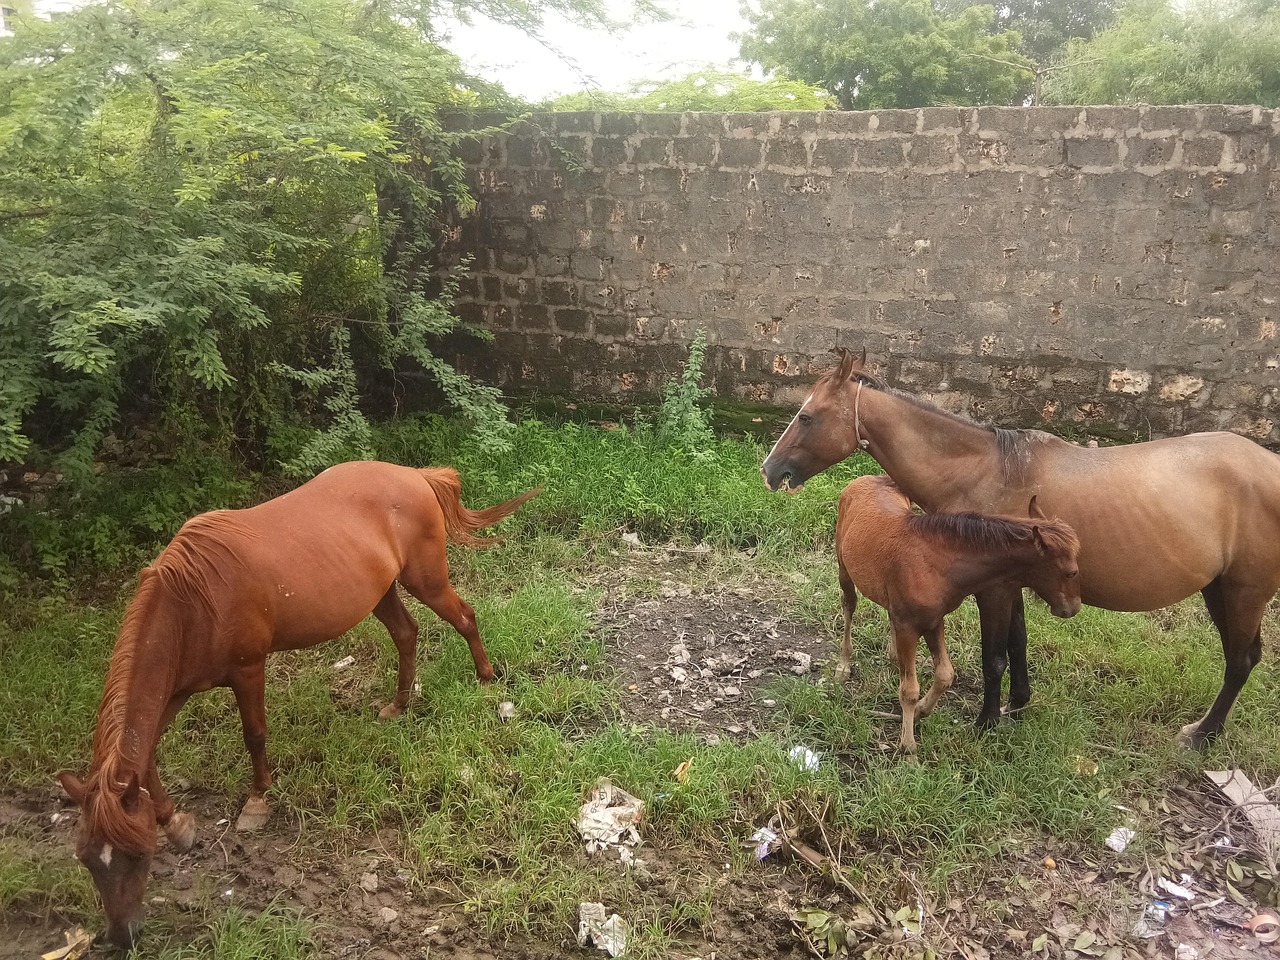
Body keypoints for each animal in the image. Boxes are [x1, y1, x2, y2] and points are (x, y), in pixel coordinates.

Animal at [56, 461, 538, 950]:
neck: (192, 603)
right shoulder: (175, 690)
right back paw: (399, 705)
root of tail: (415, 475)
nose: (121, 936)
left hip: (427, 579)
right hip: (382, 591)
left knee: (464, 617)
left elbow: (254, 734)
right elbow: (147, 753)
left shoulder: (248, 670)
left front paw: (258, 799)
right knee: (406, 633)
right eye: (87, 859)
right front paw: (175, 822)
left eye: (137, 855)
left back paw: (485, 679)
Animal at [834, 475, 1081, 752]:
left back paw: (892, 653)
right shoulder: (909, 626)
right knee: (849, 606)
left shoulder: (933, 621)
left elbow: (945, 675)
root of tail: (868, 478)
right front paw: (908, 747)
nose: (1072, 608)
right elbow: (908, 690)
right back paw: (843, 665)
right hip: (844, 569)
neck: (937, 564)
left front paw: (921, 711)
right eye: (1070, 572)